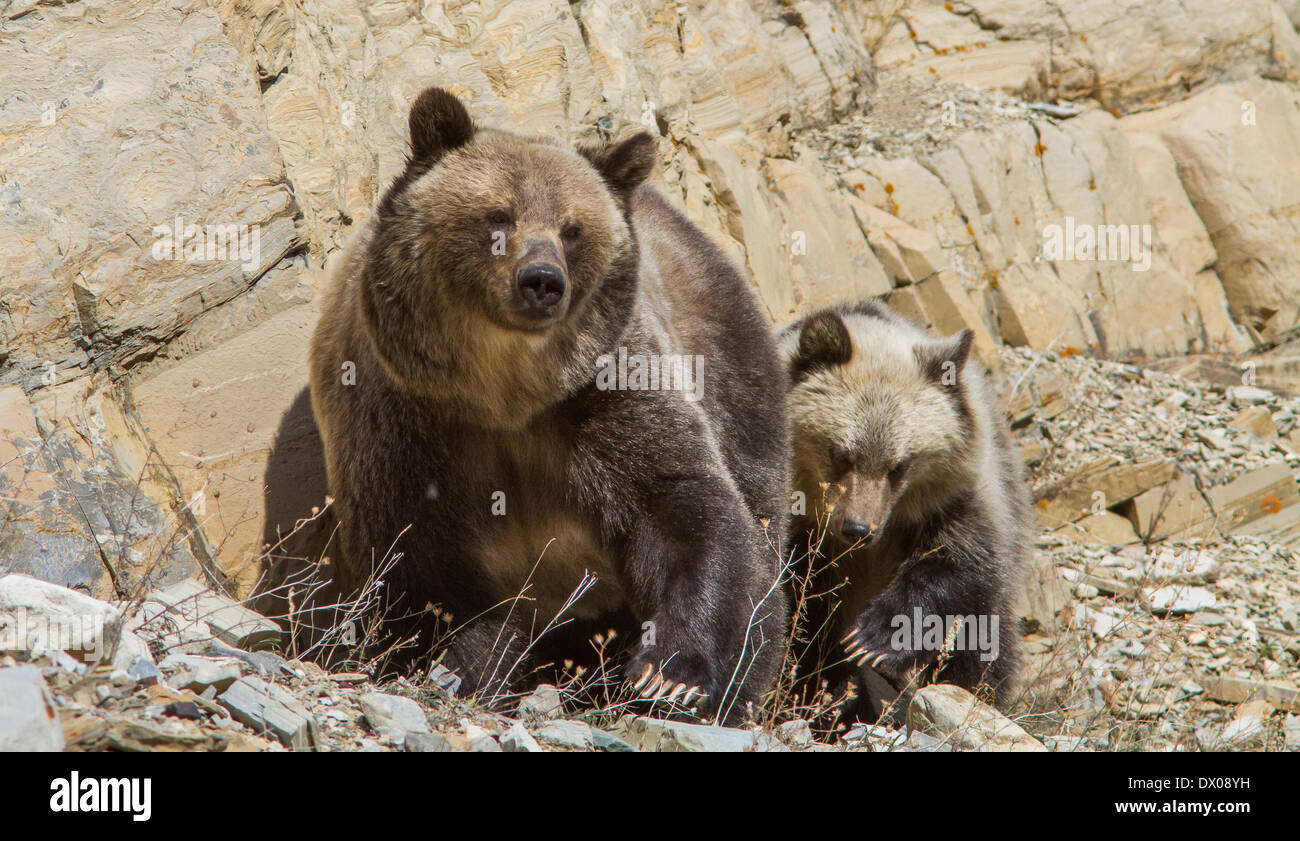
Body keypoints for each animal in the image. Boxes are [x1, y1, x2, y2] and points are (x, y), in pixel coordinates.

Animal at [308, 87, 790, 721]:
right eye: (498, 214)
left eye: (573, 228)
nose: (541, 280)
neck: (504, 396)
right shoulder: (405, 420)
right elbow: (417, 564)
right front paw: (465, 666)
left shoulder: (603, 396)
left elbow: (681, 504)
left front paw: (670, 673)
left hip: (730, 364)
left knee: (760, 524)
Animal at [777, 300, 1030, 724]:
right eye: (840, 453)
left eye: (899, 465)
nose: (858, 528)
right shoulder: (797, 522)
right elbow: (802, 602)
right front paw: (829, 685)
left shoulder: (951, 497)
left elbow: (958, 567)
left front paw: (874, 637)